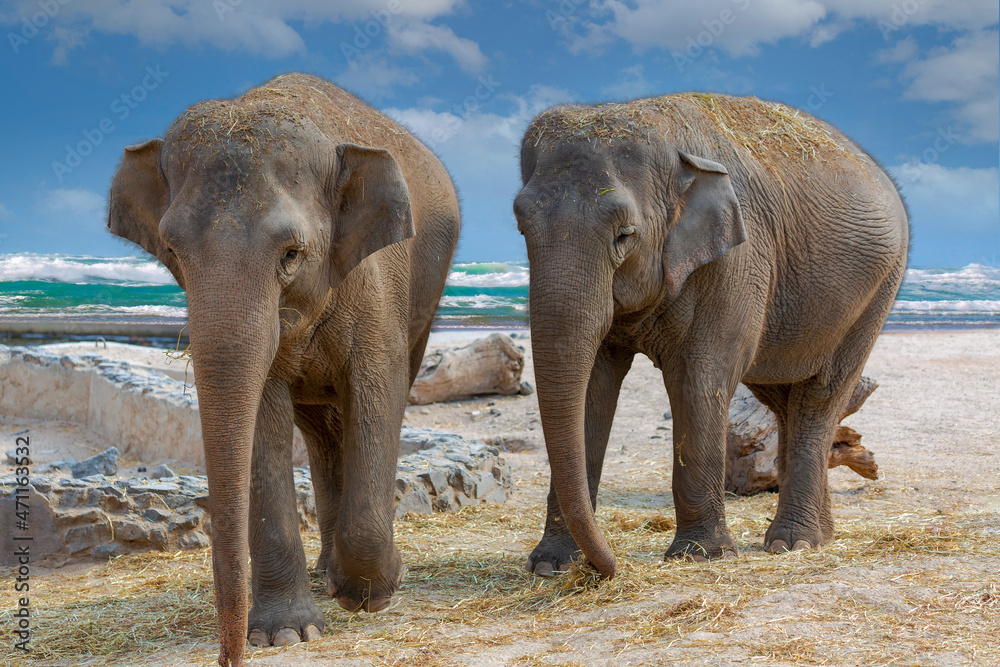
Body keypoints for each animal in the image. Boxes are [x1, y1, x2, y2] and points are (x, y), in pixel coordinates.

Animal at [107, 73, 459, 666]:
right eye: (173, 249)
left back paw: (343, 577)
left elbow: (380, 392)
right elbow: (261, 416)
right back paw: (325, 572)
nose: (227, 658)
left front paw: (376, 591)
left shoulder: (375, 281)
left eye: (292, 253)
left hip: (425, 299)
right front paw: (285, 634)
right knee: (320, 431)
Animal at [513, 94, 907, 579]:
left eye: (624, 234)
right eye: (521, 227)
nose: (610, 568)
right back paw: (815, 537)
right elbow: (590, 387)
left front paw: (701, 556)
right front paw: (550, 566)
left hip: (877, 294)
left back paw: (793, 543)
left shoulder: (739, 258)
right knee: (783, 402)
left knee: (819, 396)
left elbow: (699, 379)